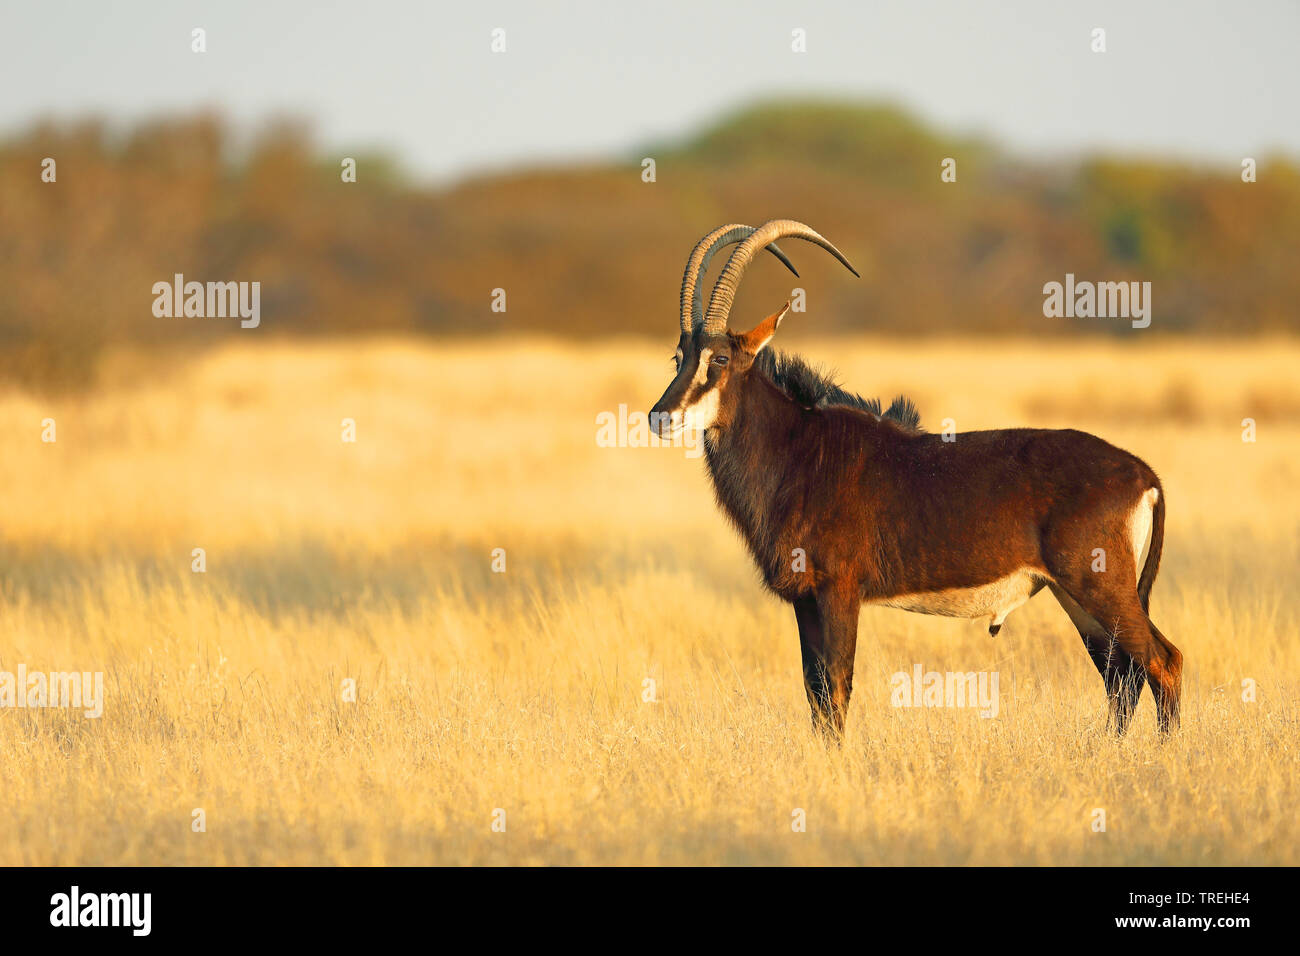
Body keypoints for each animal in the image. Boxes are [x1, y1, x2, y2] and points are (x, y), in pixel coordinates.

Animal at [649, 220, 1182, 740]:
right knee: (1119, 674)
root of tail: (1144, 475)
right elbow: (815, 694)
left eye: (719, 359)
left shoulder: (839, 591)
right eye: (679, 358)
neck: (799, 449)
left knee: (1162, 661)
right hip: (1075, 597)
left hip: (1100, 585)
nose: (660, 417)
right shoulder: (805, 599)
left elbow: (836, 688)